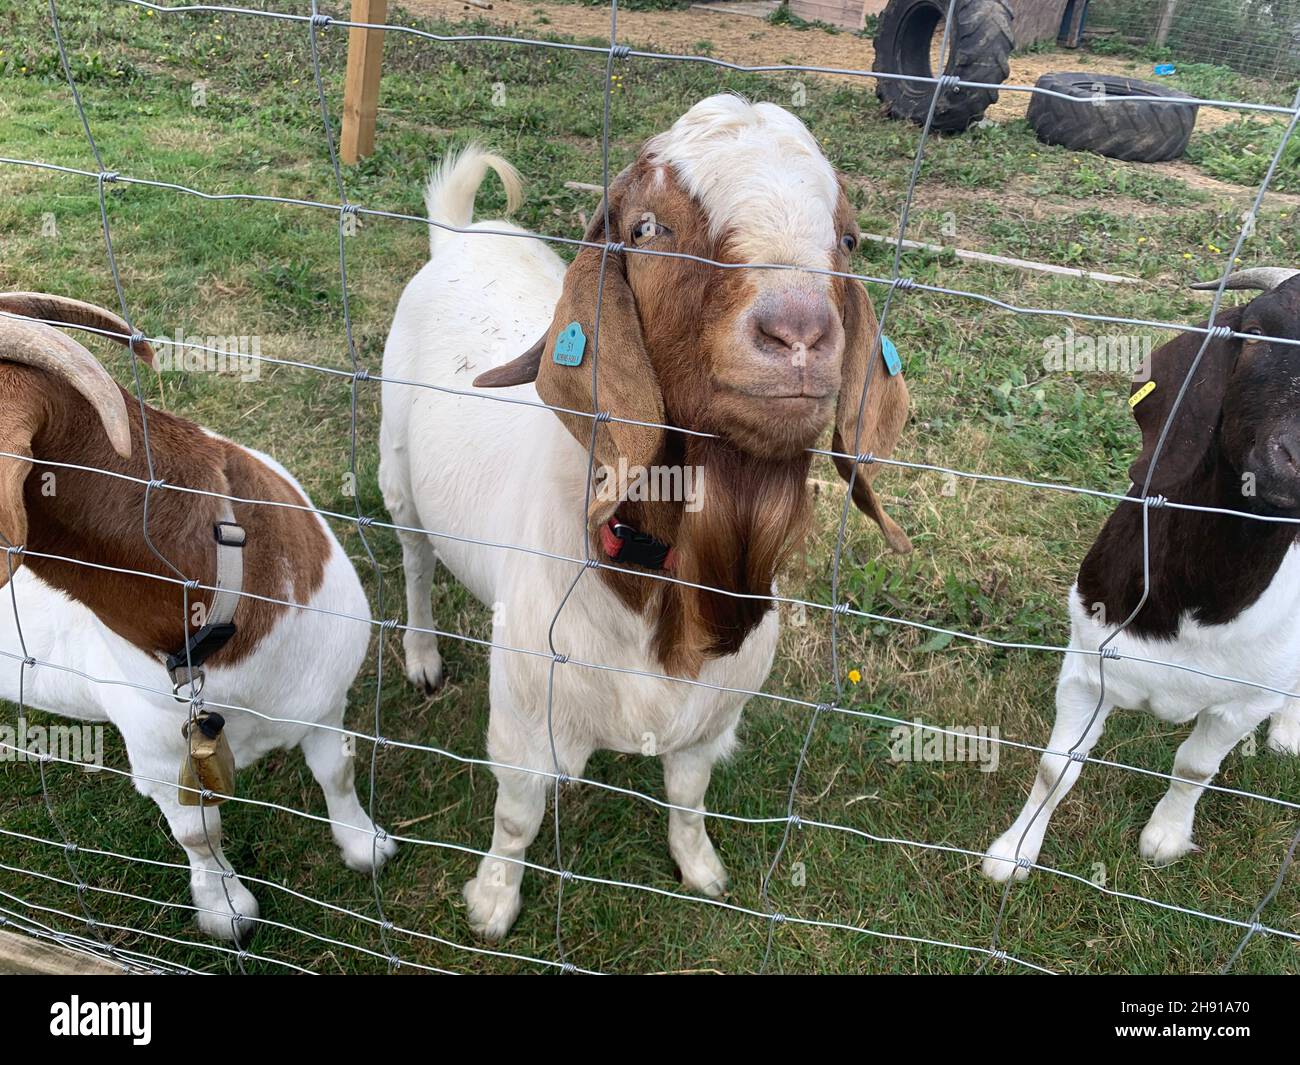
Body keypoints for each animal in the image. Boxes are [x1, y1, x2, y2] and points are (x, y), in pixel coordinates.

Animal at [0, 294, 395, 942]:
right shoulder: (159, 757)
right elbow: (197, 833)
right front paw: (227, 911)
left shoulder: (323, 695)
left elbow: (335, 770)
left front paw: (367, 847)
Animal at [380, 97, 911, 939]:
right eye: (647, 226)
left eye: (849, 239)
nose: (798, 331)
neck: (661, 584)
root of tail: (457, 234)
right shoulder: (525, 719)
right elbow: (517, 817)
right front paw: (492, 902)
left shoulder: (711, 719)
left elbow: (689, 800)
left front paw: (701, 870)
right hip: (396, 474)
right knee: (416, 562)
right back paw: (423, 655)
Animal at [984, 267, 1300, 882]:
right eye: (1254, 331)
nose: (1296, 456)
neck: (1200, 605)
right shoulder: (1088, 665)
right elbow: (1057, 767)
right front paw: (1012, 853)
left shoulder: (1242, 704)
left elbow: (1195, 767)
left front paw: (1165, 838)